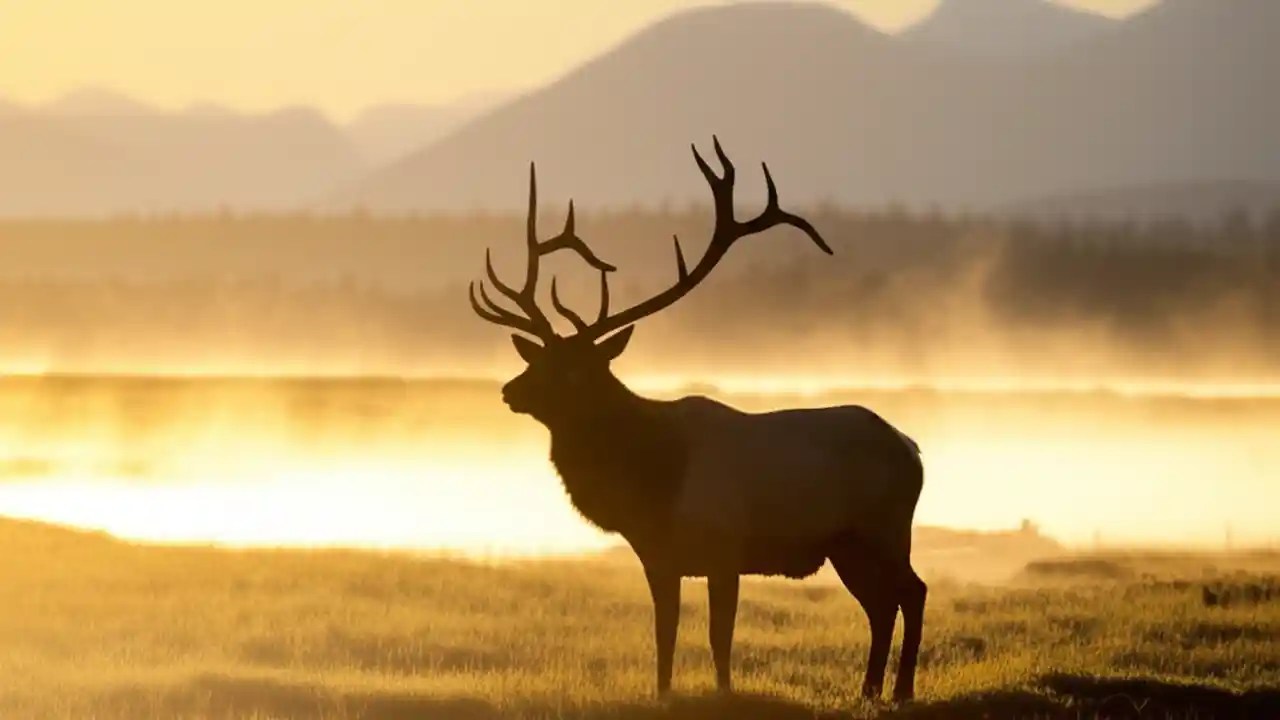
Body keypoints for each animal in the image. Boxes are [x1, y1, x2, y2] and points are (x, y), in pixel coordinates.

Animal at [468, 138, 927, 703]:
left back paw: (901, 690)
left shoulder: (724, 549)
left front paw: (725, 692)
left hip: (883, 527)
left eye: (575, 371)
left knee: (912, 591)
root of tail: (912, 448)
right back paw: (868, 691)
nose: (509, 390)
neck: (651, 486)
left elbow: (718, 635)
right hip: (848, 544)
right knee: (881, 605)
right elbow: (664, 631)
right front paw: (662, 692)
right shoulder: (657, 557)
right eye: (538, 360)